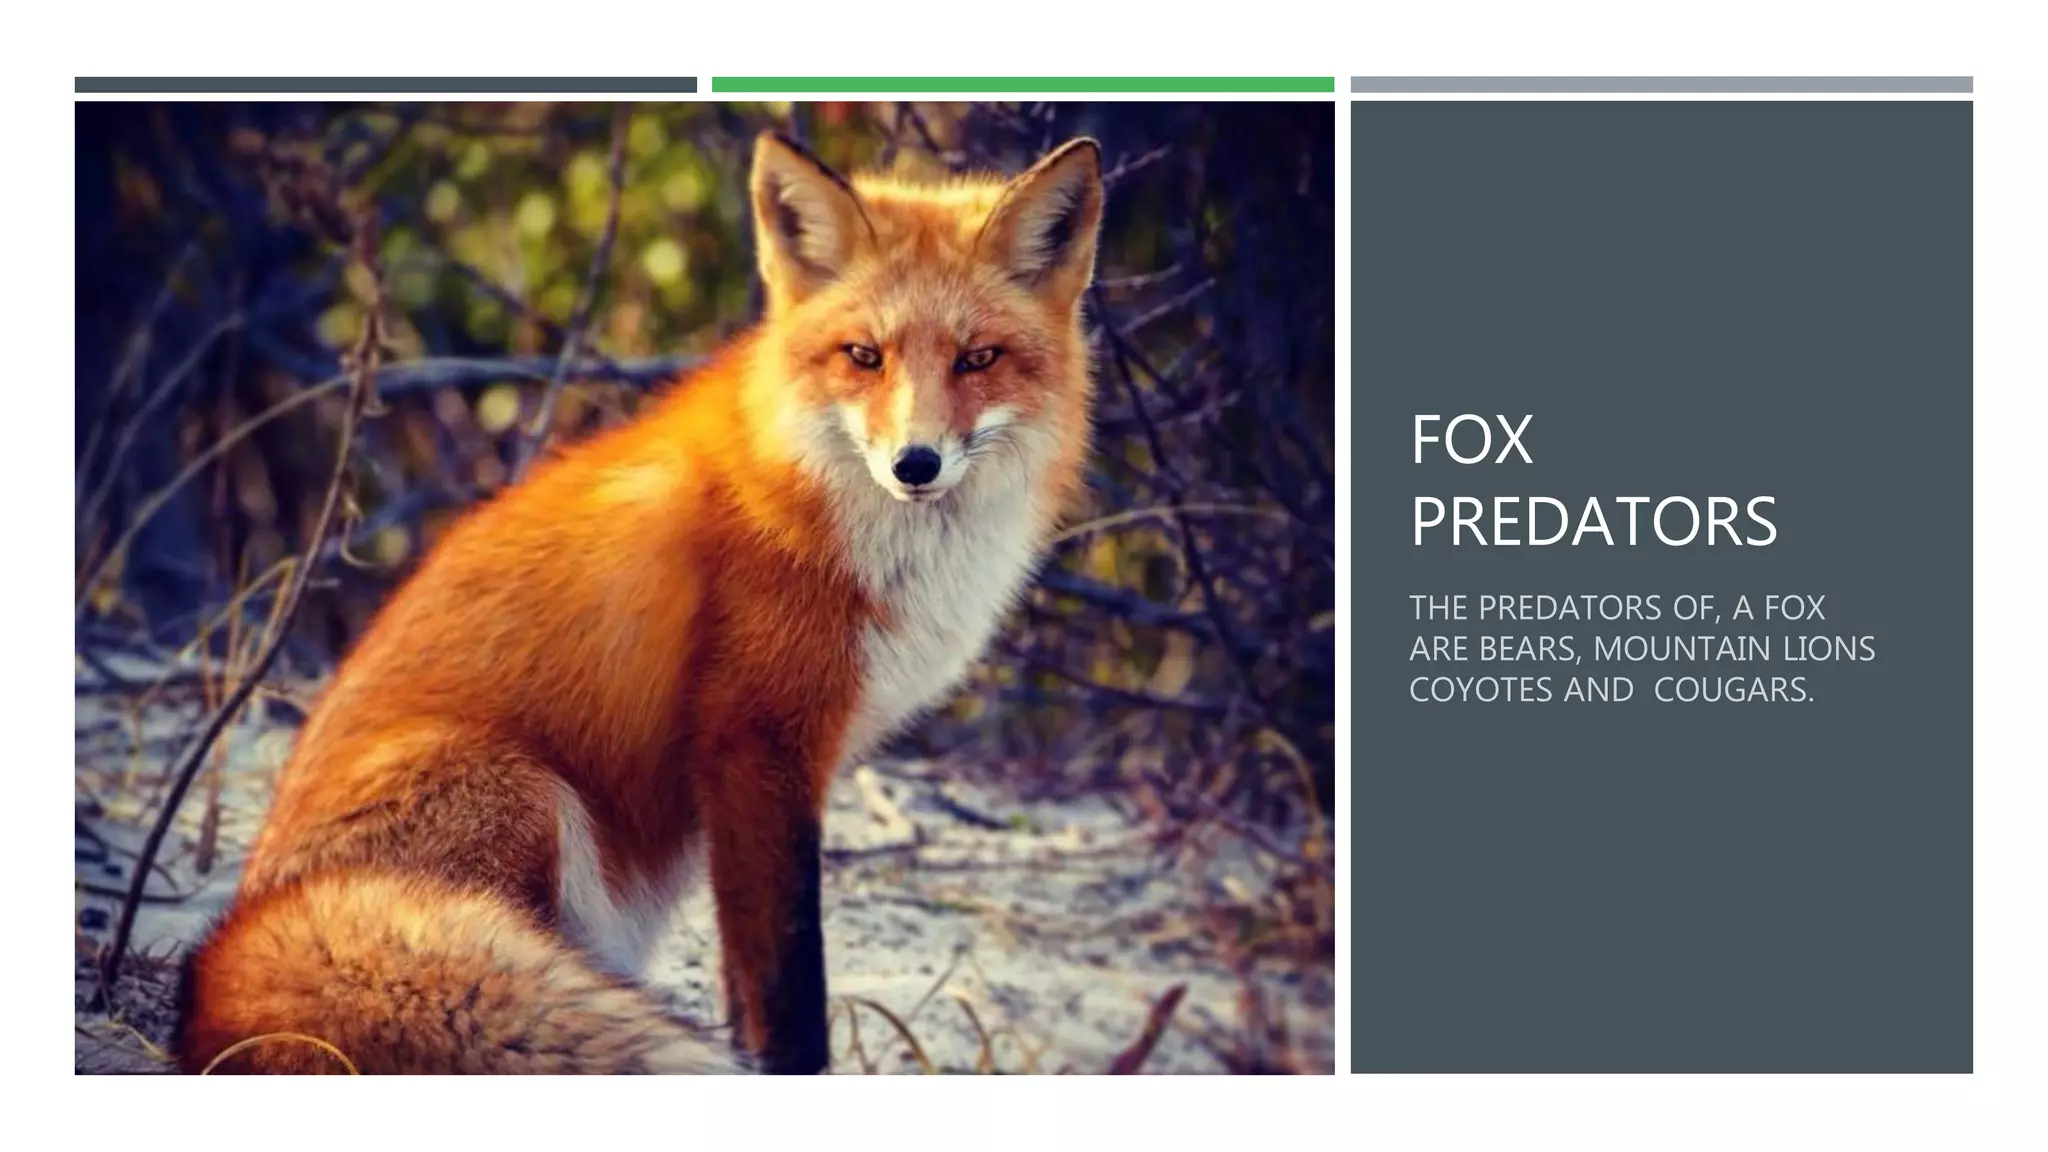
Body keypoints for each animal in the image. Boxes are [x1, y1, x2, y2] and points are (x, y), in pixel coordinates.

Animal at [173, 131, 1106, 1074]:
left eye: (978, 358)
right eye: (864, 356)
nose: (916, 464)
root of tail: (233, 940)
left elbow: (743, 985)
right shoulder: (755, 742)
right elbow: (787, 984)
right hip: (524, 793)